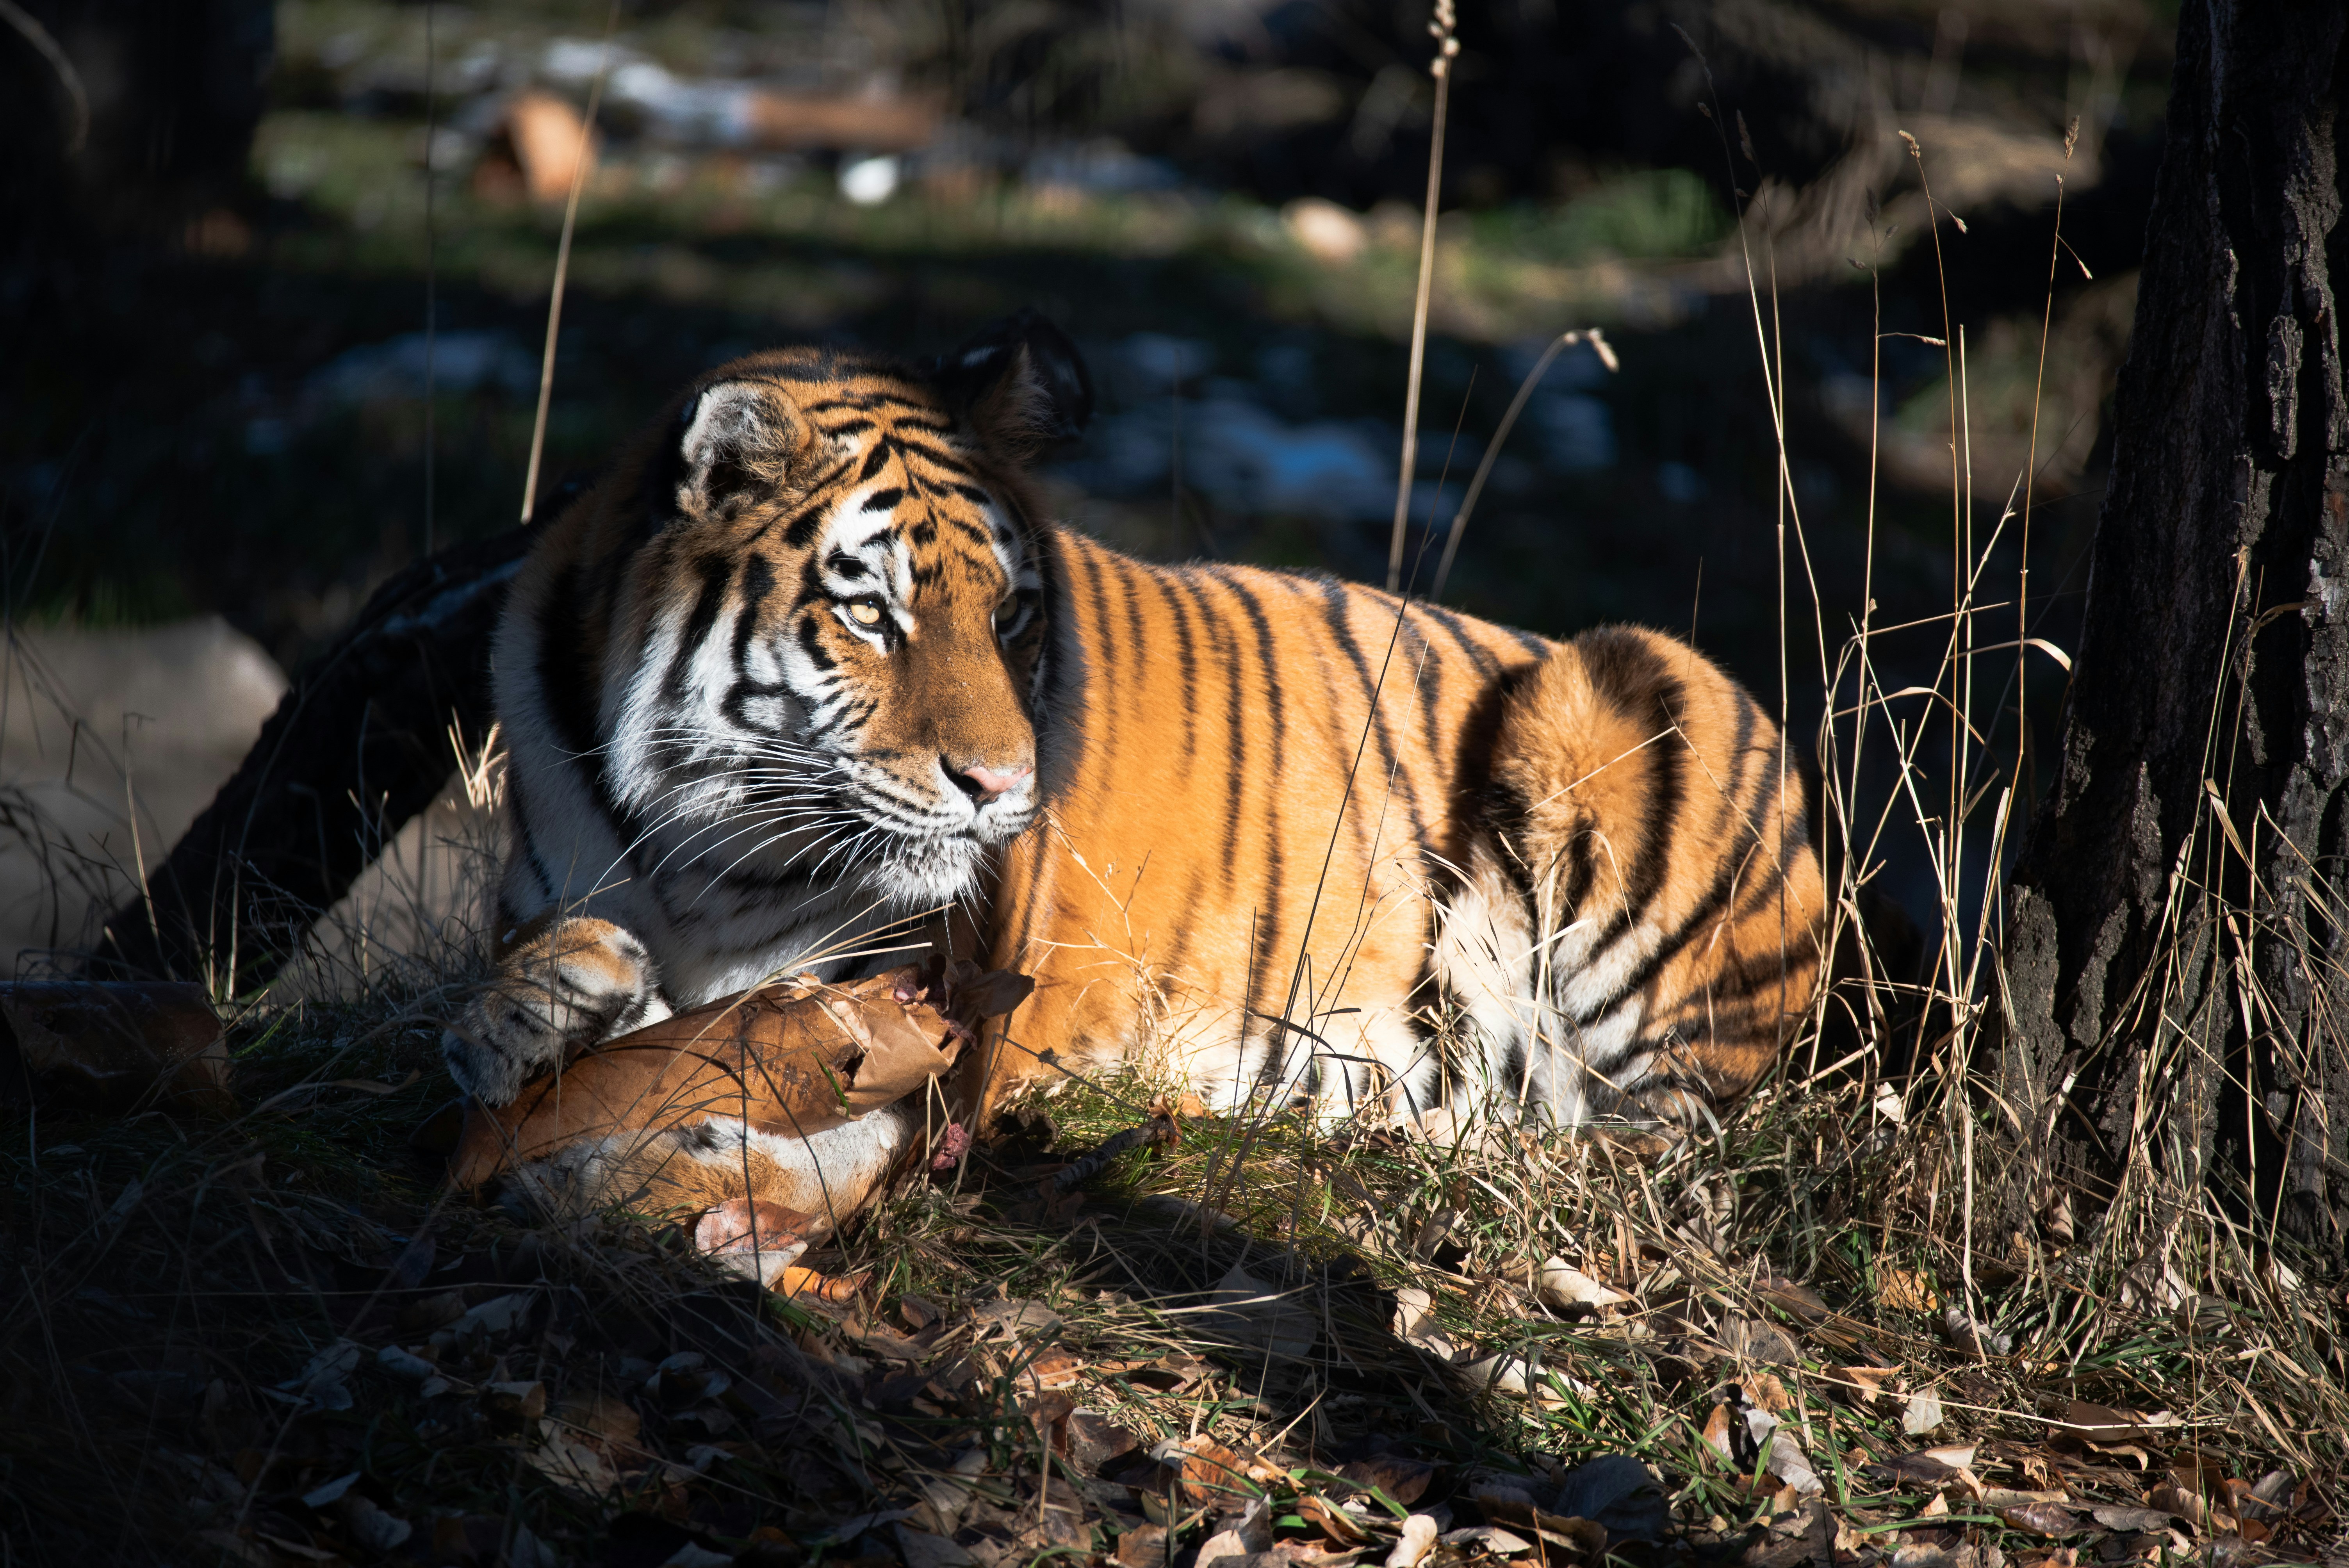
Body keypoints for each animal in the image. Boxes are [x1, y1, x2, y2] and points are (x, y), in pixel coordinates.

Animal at [441, 309, 1826, 1245]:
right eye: (873, 613)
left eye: (1010, 616)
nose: (1001, 785)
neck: (706, 848)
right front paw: (533, 1015)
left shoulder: (928, 1033)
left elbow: (804, 1150)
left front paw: (607, 1179)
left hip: (1634, 687)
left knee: (1628, 1142)